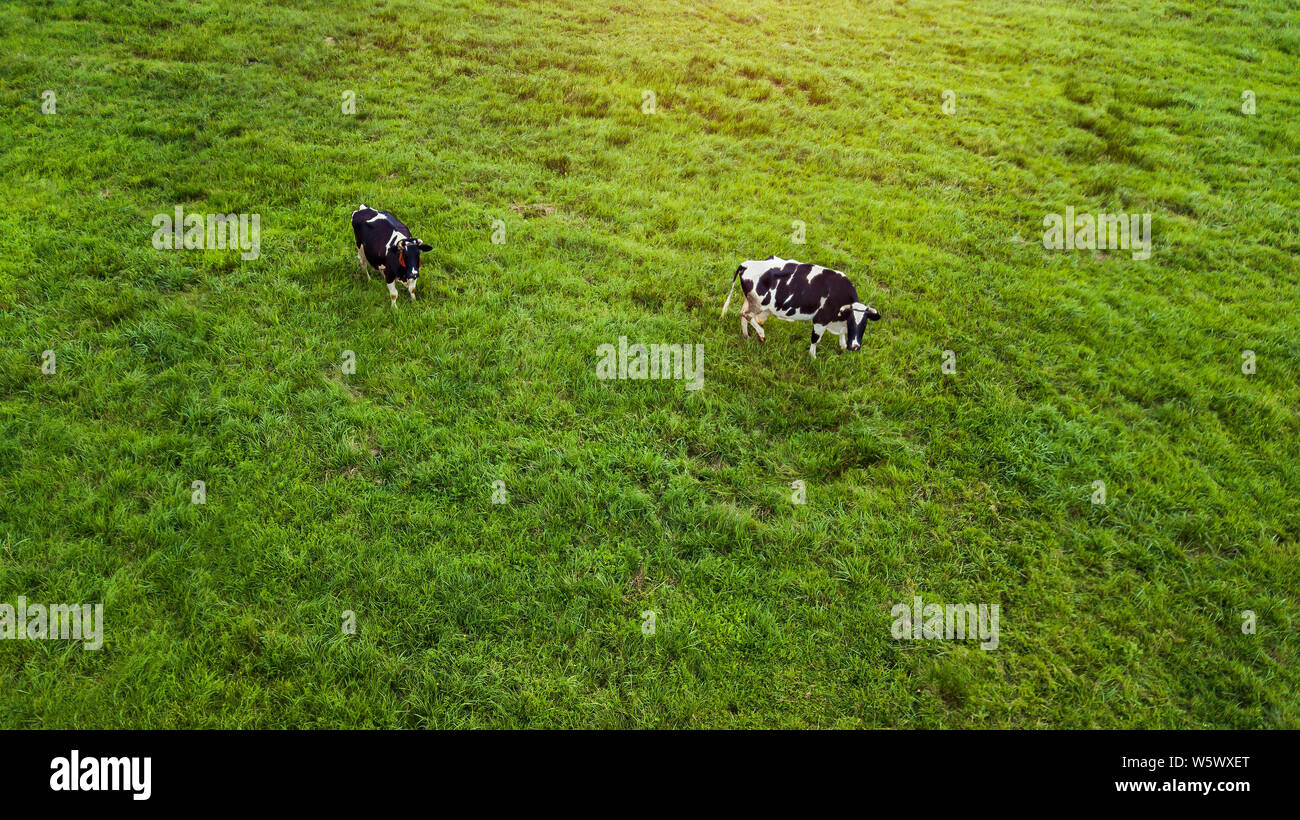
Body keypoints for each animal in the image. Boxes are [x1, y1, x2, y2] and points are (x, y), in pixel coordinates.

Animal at [720, 257, 881, 358]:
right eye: (852, 321)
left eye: (864, 323)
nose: (855, 347)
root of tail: (747, 264)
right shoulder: (820, 319)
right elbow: (815, 339)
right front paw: (812, 357)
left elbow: (841, 334)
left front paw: (842, 345)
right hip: (759, 304)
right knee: (747, 315)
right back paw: (761, 334)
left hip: (752, 301)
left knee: (742, 313)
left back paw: (746, 335)